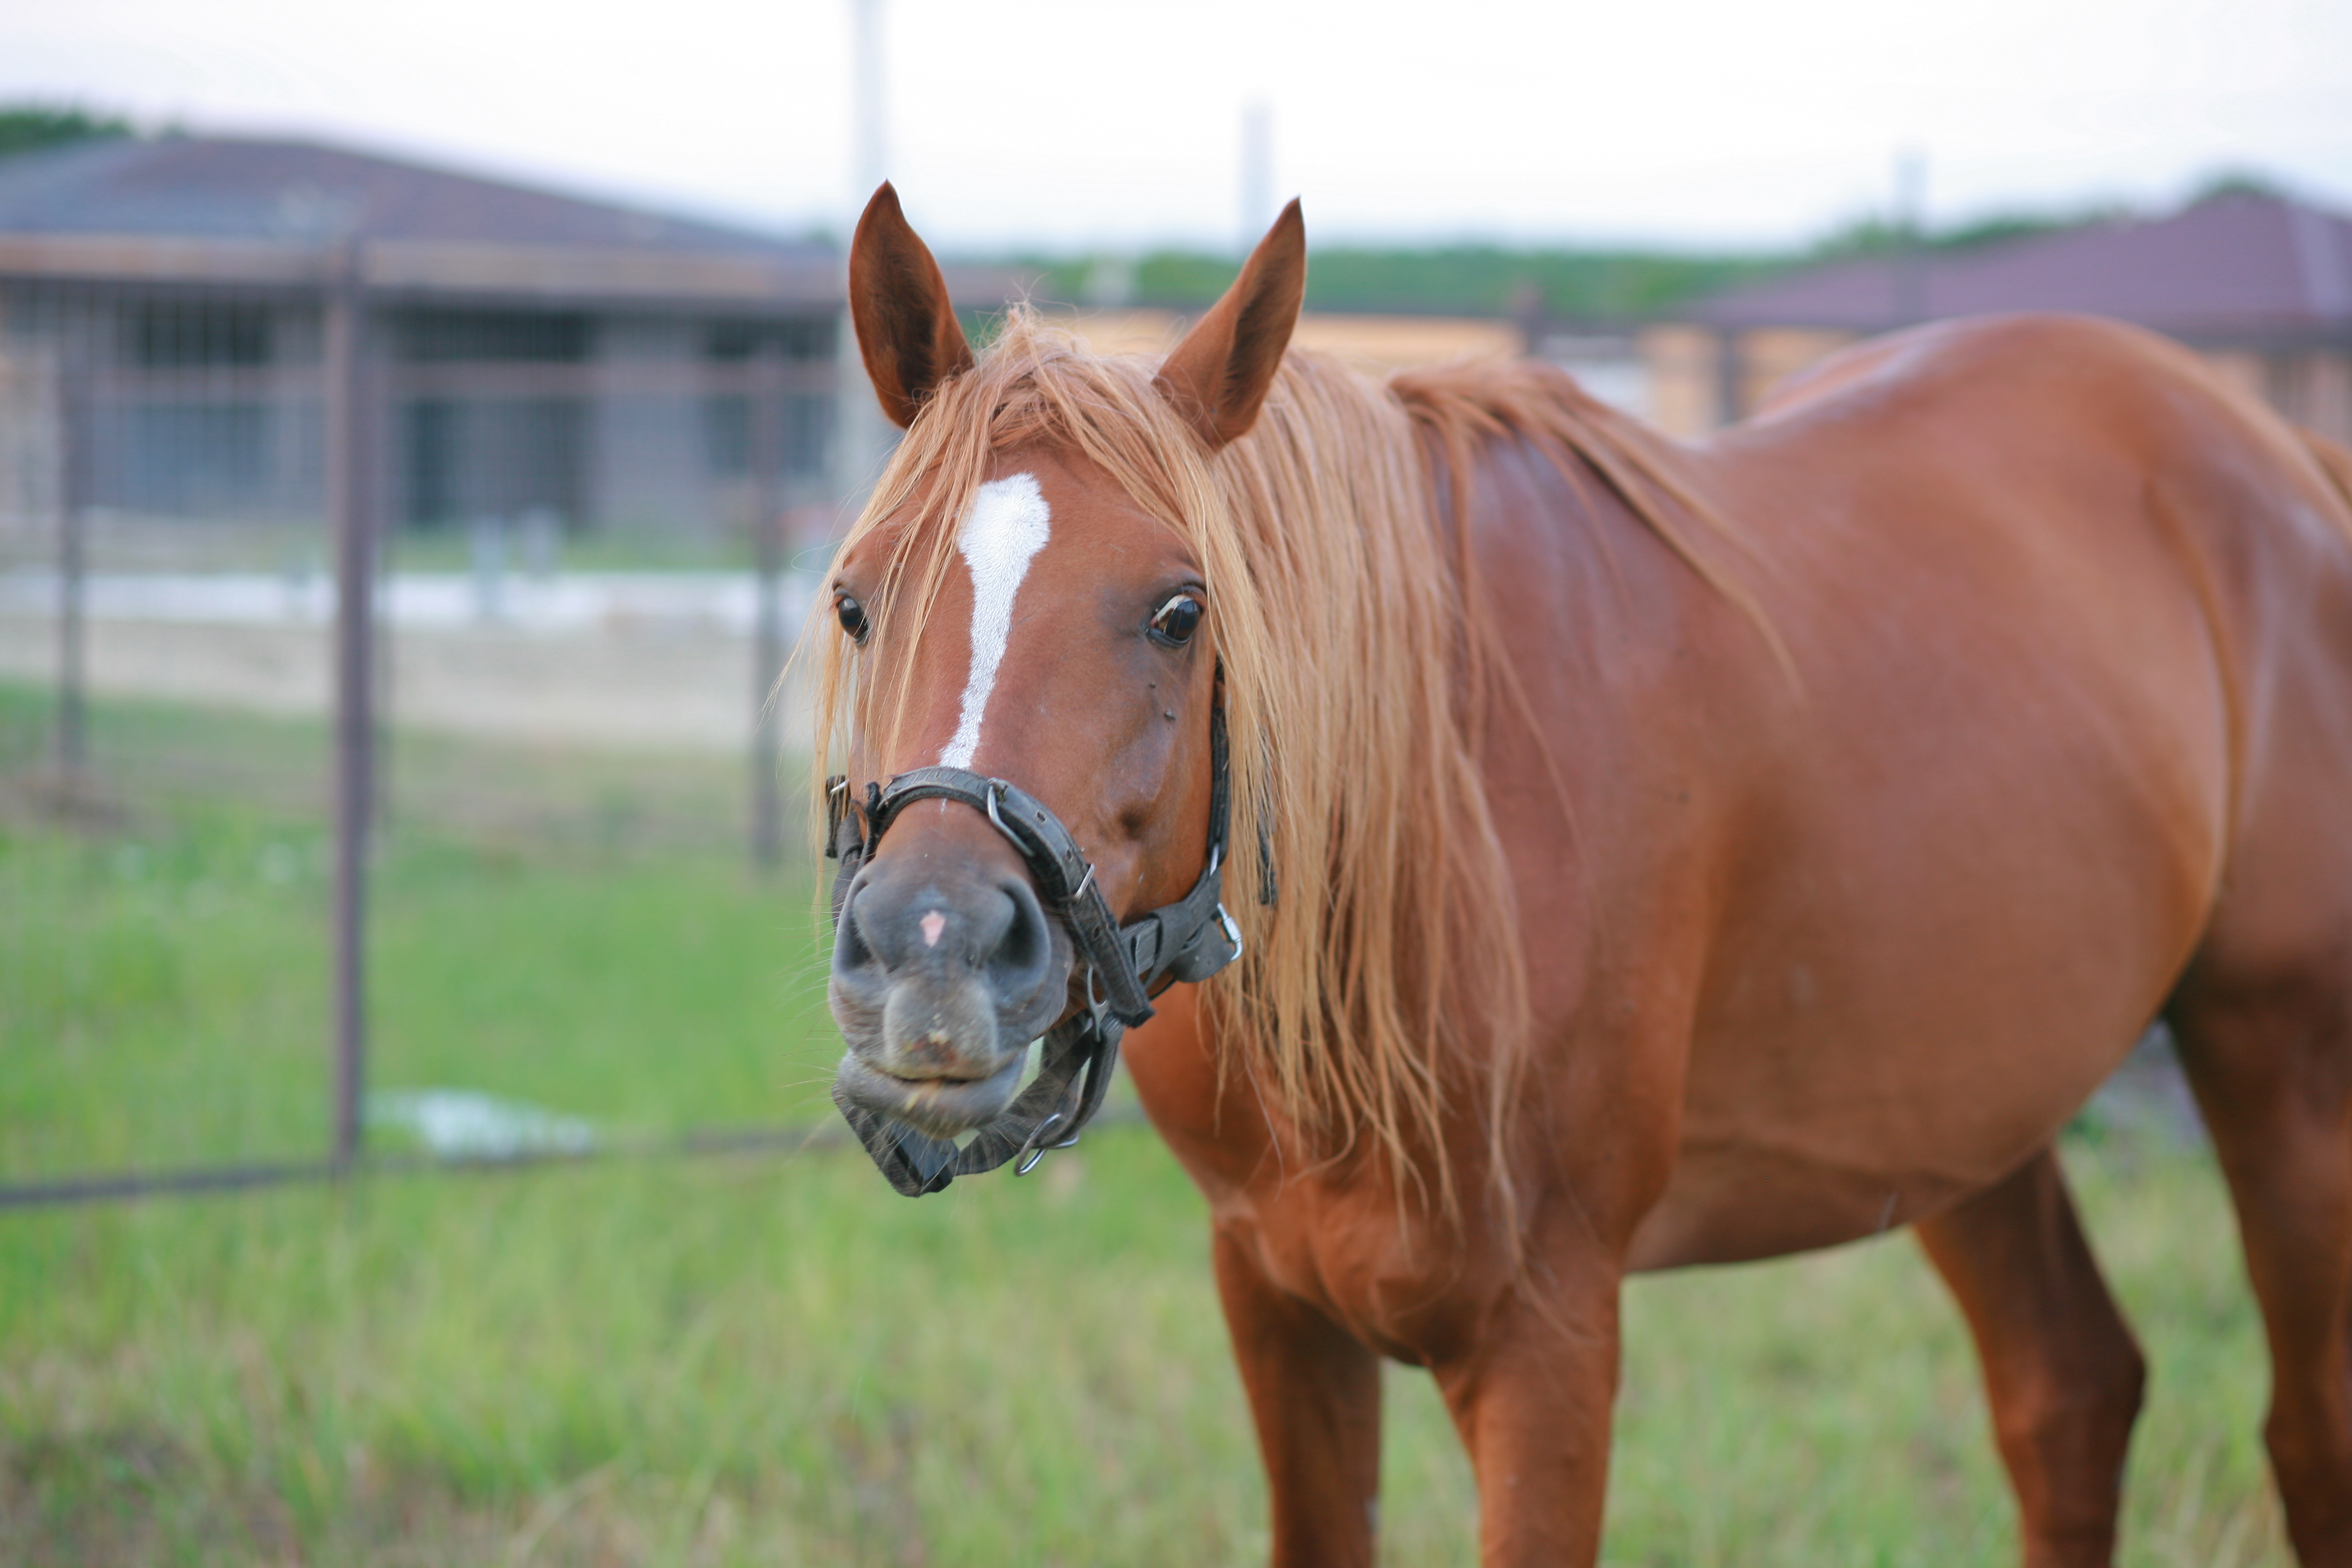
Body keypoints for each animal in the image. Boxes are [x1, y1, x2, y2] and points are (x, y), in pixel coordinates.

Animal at [809, 187, 2352, 1568]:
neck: (1435, 833)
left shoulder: (1549, 1340)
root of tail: (2282, 456)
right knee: (2068, 1396)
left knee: (2303, 1438)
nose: (931, 951)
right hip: (1968, 1110)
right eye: (856, 600)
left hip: (2280, 1078)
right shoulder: (1275, 1302)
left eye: (1181, 612)